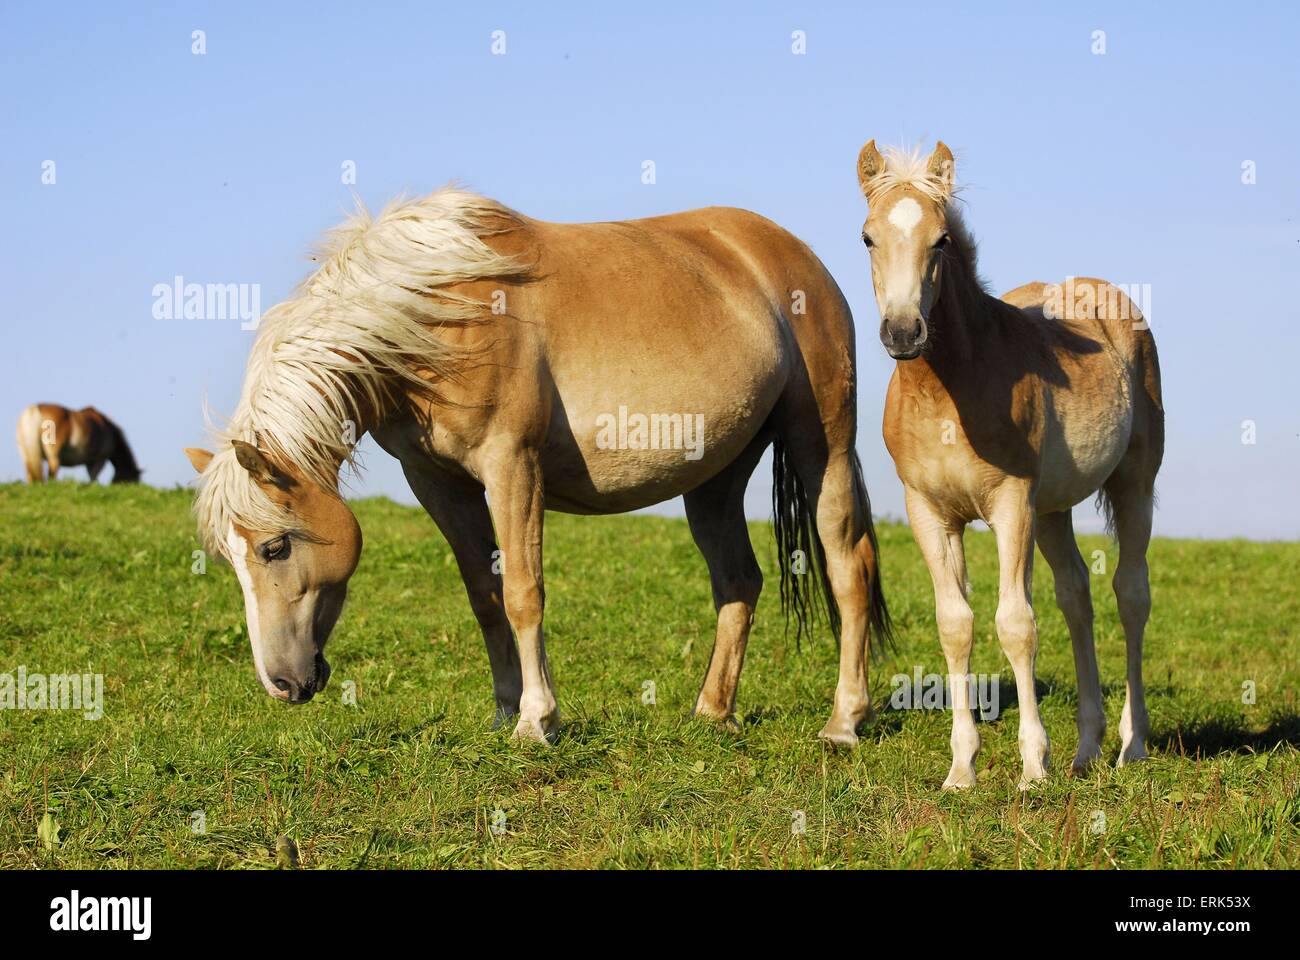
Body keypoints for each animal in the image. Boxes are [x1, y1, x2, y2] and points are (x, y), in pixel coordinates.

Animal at [185, 188, 893, 743]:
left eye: (275, 547)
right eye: (228, 558)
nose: (282, 683)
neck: (438, 313)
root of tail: (797, 257)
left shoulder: (511, 466)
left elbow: (524, 593)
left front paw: (537, 719)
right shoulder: (437, 483)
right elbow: (485, 595)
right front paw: (505, 712)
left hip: (821, 445)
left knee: (847, 566)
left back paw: (844, 721)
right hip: (715, 477)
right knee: (738, 581)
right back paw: (712, 712)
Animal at [855, 141, 1164, 789]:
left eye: (941, 239)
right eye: (868, 237)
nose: (903, 332)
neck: (949, 395)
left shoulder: (1011, 504)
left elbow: (1015, 623)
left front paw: (1031, 766)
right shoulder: (930, 513)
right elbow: (956, 623)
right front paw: (961, 769)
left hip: (1132, 484)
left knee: (1130, 593)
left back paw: (1132, 745)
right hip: (1053, 510)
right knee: (1076, 597)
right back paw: (1087, 749)